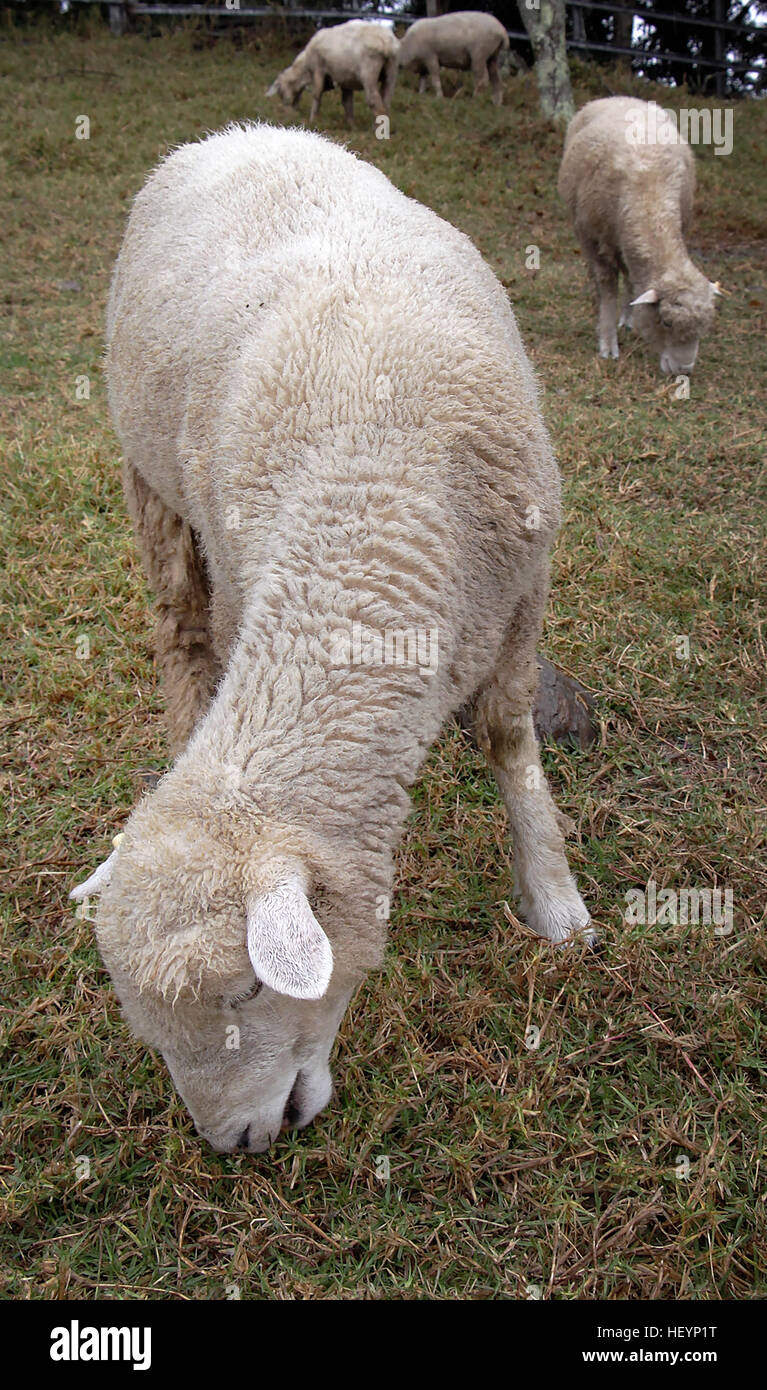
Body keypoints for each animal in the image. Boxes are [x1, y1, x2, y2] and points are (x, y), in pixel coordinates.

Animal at [70, 123, 593, 1155]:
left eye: (244, 989)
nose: (234, 1145)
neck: (367, 494)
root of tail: (239, 133)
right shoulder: (247, 581)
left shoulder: (522, 594)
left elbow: (509, 740)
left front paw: (557, 906)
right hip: (153, 486)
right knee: (181, 644)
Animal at [265, 20, 399, 127]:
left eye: (280, 92)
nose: (288, 111)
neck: (304, 71)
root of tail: (386, 42)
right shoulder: (346, 80)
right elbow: (347, 103)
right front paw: (352, 126)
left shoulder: (318, 70)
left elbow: (317, 95)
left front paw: (313, 120)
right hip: (391, 72)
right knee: (386, 102)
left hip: (368, 73)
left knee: (375, 101)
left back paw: (376, 130)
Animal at [558, 97, 720, 374]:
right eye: (666, 322)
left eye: (704, 327)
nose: (683, 370)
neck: (650, 195)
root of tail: (618, 98)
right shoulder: (595, 240)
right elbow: (607, 289)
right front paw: (607, 342)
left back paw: (627, 317)